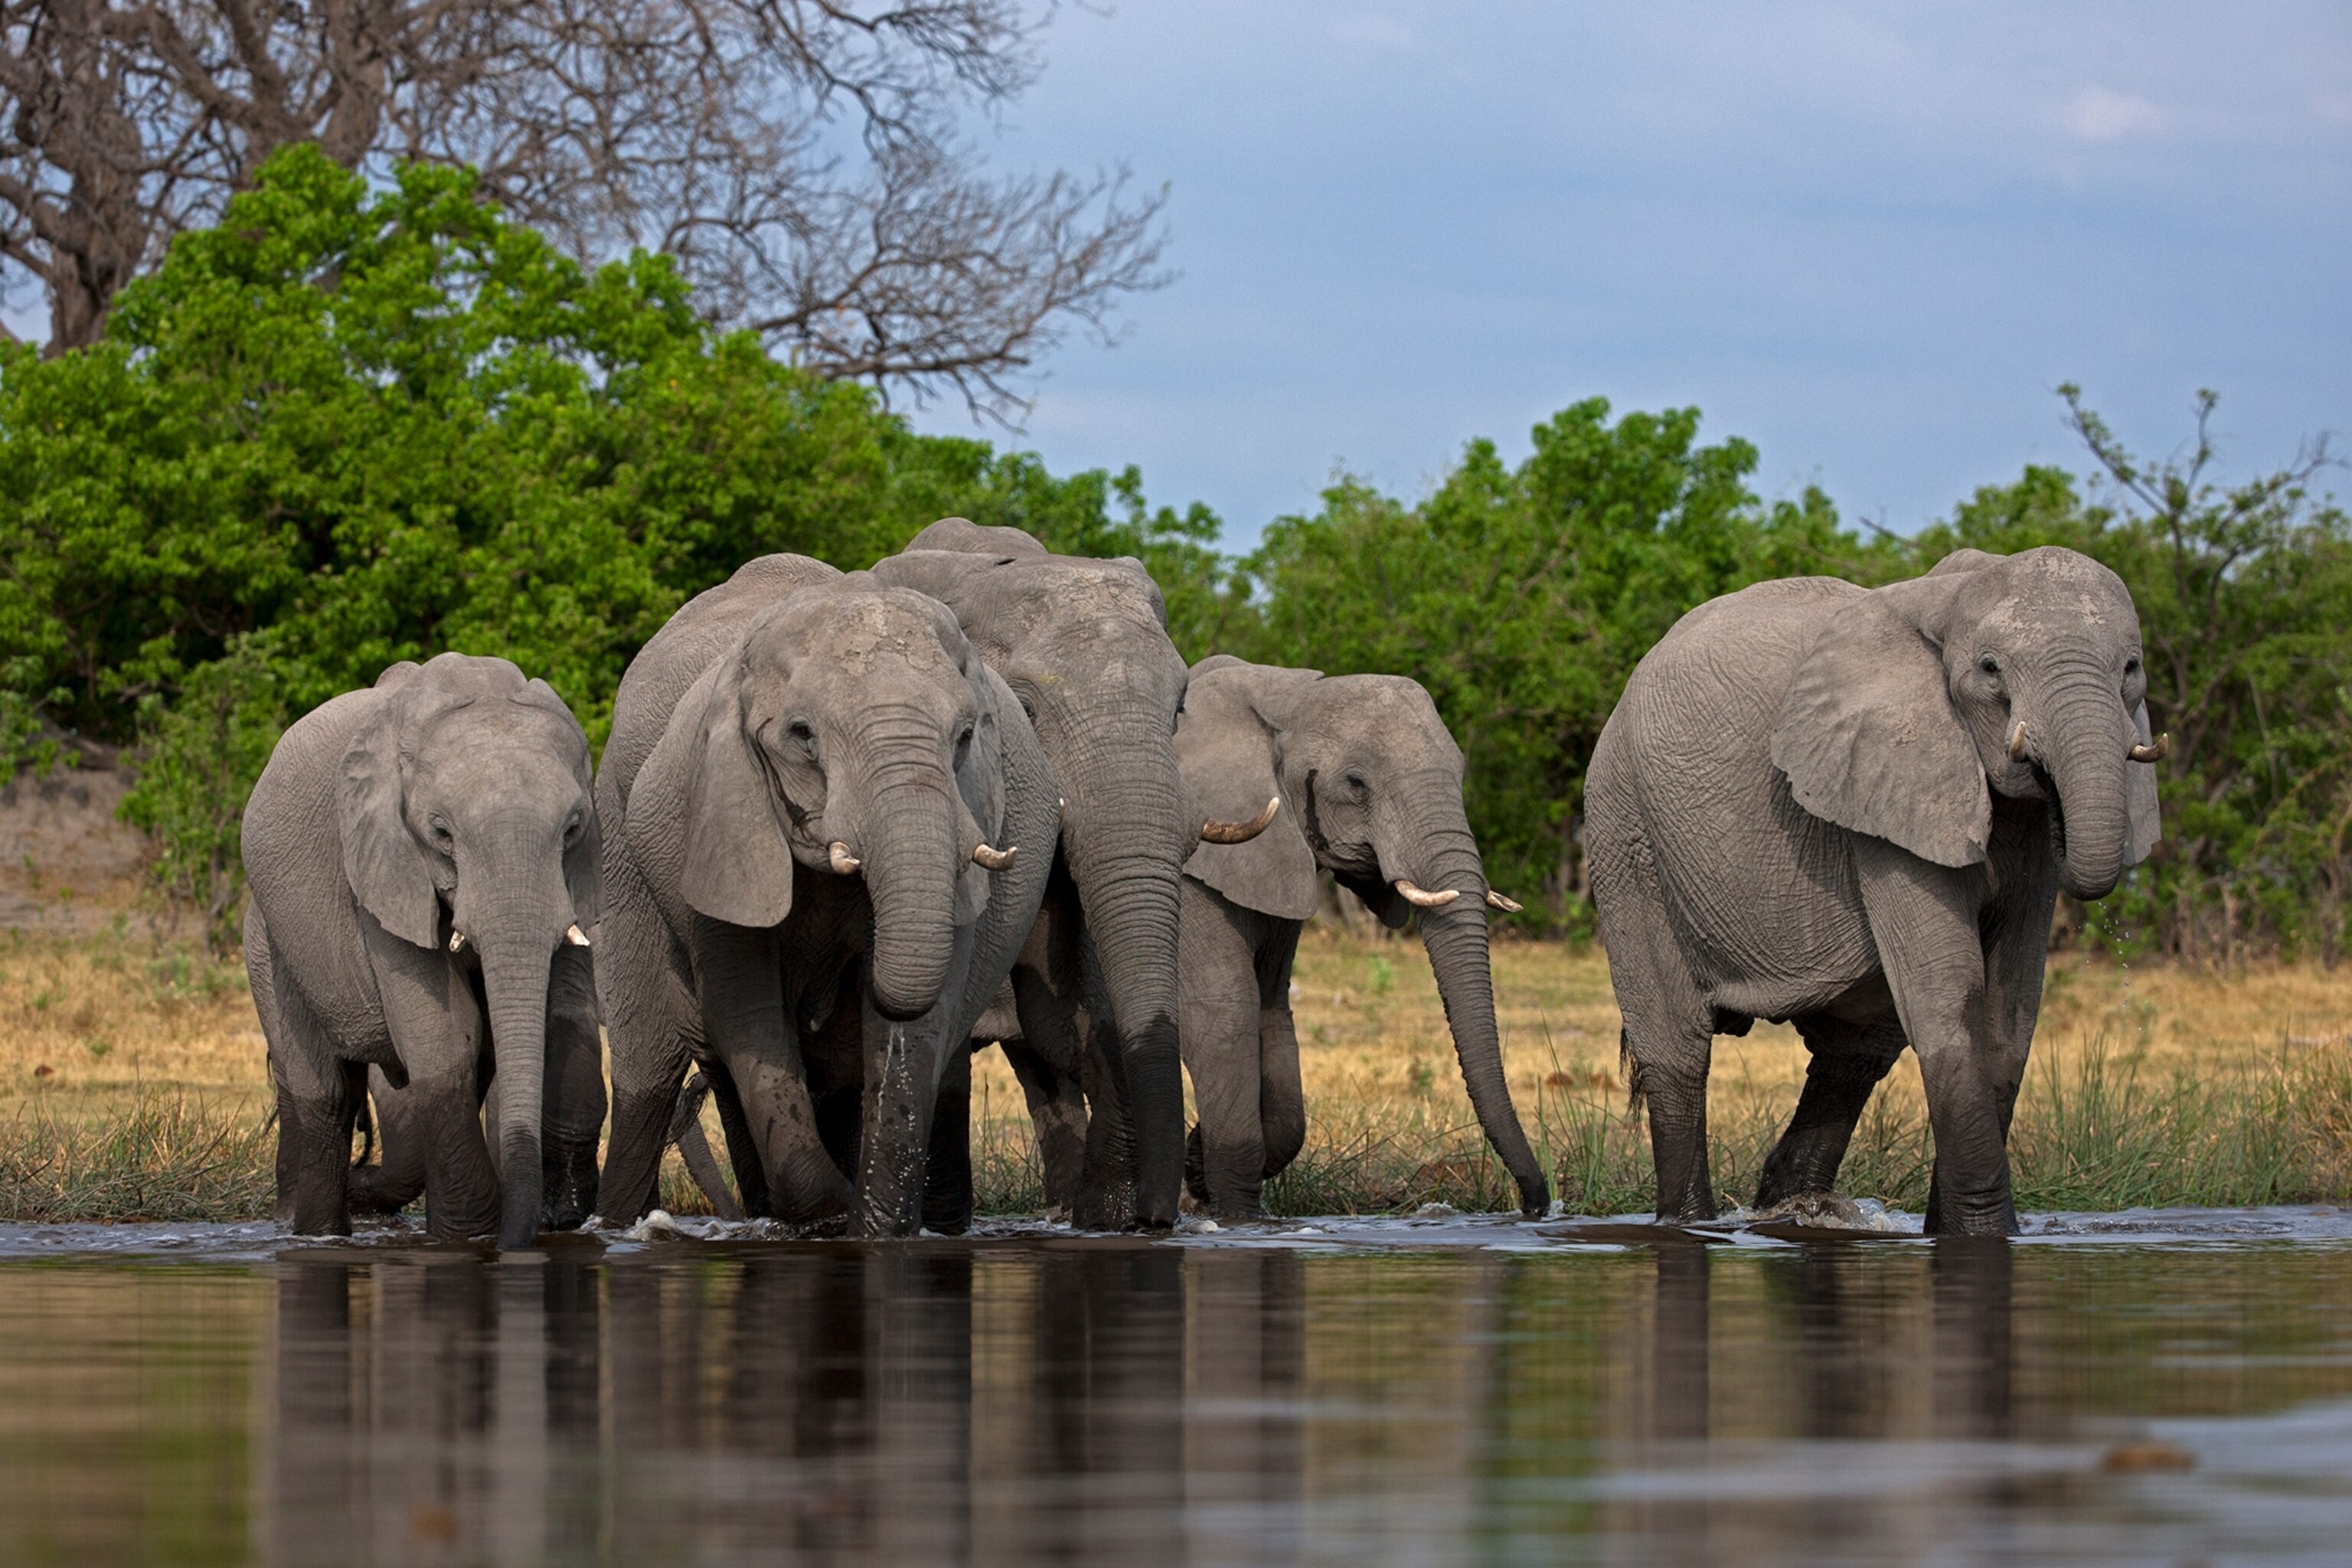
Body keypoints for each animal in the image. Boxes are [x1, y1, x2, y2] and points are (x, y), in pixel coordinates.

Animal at [241, 653, 605, 1248]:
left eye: (573, 828)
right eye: (441, 833)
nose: (517, 1243)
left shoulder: (574, 878)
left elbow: (563, 1015)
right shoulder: (383, 866)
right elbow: (446, 1035)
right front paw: (469, 1236)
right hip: (271, 943)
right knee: (327, 1094)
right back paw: (318, 1235)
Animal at [592, 555, 1057, 1237]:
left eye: (966, 736)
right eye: (802, 735)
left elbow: (919, 1020)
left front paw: (876, 1225)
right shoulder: (719, 816)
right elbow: (747, 1008)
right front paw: (830, 1215)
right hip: (621, 857)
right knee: (649, 1067)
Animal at [1172, 656, 1552, 1218]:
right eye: (1356, 784)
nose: (1535, 1205)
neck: (1284, 694)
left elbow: (1271, 1009)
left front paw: (1197, 1166)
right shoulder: (1193, 870)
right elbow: (1222, 1012)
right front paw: (1233, 1212)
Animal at [1584, 546, 2163, 1235]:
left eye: (2131, 668)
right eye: (1990, 670)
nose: (2046, 784)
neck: (1951, 600)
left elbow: (2011, 1010)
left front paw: (1968, 1234)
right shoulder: (1886, 791)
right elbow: (1948, 994)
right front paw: (1983, 1237)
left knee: (1853, 1055)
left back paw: (1796, 1211)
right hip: (1626, 835)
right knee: (1678, 1052)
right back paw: (1691, 1222)